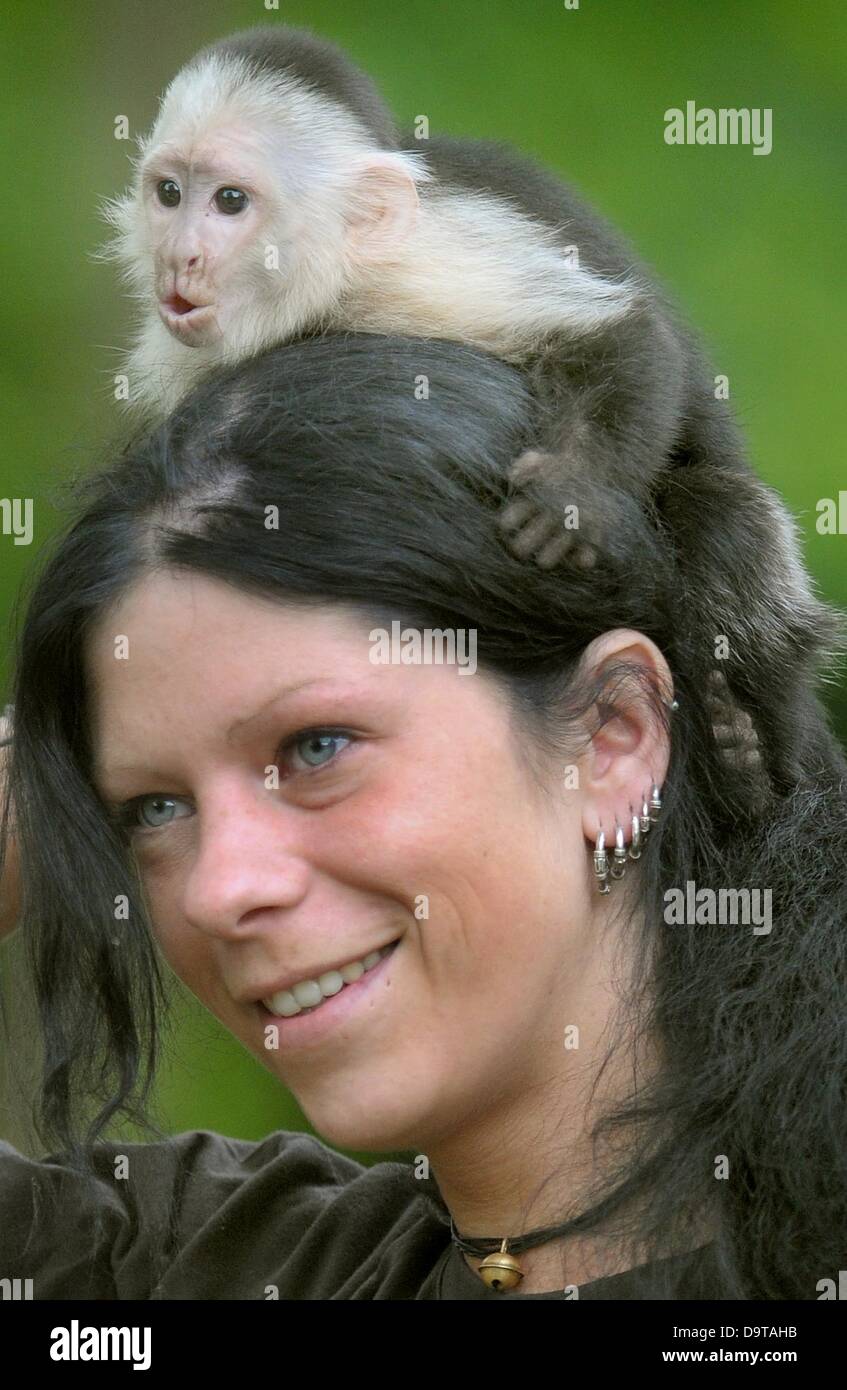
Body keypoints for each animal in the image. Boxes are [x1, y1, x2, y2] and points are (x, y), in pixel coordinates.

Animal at [97, 23, 847, 805]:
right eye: (169, 193)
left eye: (230, 202)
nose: (180, 257)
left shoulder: (425, 259)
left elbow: (623, 333)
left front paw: (569, 495)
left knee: (723, 516)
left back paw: (757, 751)